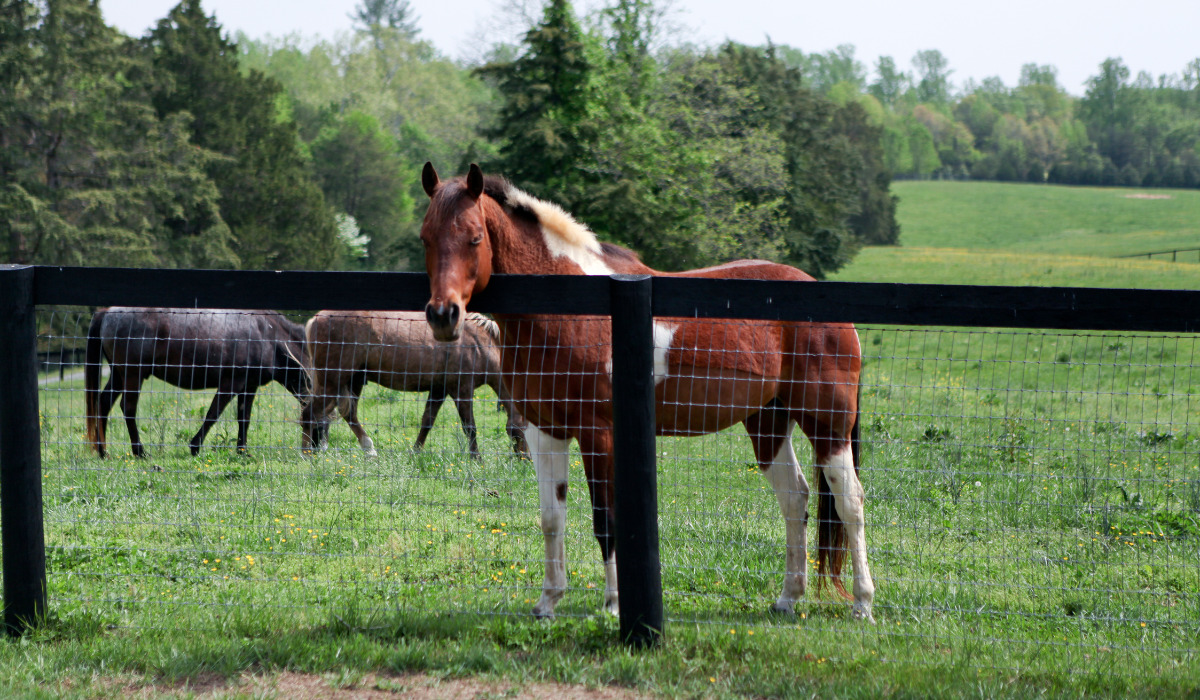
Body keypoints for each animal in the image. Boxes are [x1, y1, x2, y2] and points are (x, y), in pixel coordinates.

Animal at [84, 307, 311, 458]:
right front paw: (195, 446)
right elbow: (213, 414)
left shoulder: (249, 387)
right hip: (133, 375)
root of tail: (108, 312)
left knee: (103, 403)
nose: (313, 449)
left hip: (118, 375)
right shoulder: (231, 383)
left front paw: (242, 451)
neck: (267, 334)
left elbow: (244, 419)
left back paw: (103, 451)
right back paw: (139, 451)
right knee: (128, 408)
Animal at [300, 310, 529, 459]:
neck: (478, 341)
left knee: (348, 414)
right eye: (523, 429)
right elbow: (470, 427)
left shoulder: (439, 389)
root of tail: (317, 318)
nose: (526, 458)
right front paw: (476, 459)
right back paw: (306, 454)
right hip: (333, 381)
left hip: (352, 380)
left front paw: (416, 452)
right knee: (310, 414)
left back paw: (369, 449)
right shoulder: (461, 389)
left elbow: (427, 421)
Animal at [418, 163, 874, 622]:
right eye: (426, 237)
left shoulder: (598, 433)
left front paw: (612, 604)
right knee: (795, 498)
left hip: (827, 424)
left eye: (475, 237)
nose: (443, 316)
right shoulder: (544, 431)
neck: (574, 310)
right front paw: (548, 602)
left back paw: (862, 604)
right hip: (768, 422)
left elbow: (607, 521)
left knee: (849, 501)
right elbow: (551, 518)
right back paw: (788, 599)